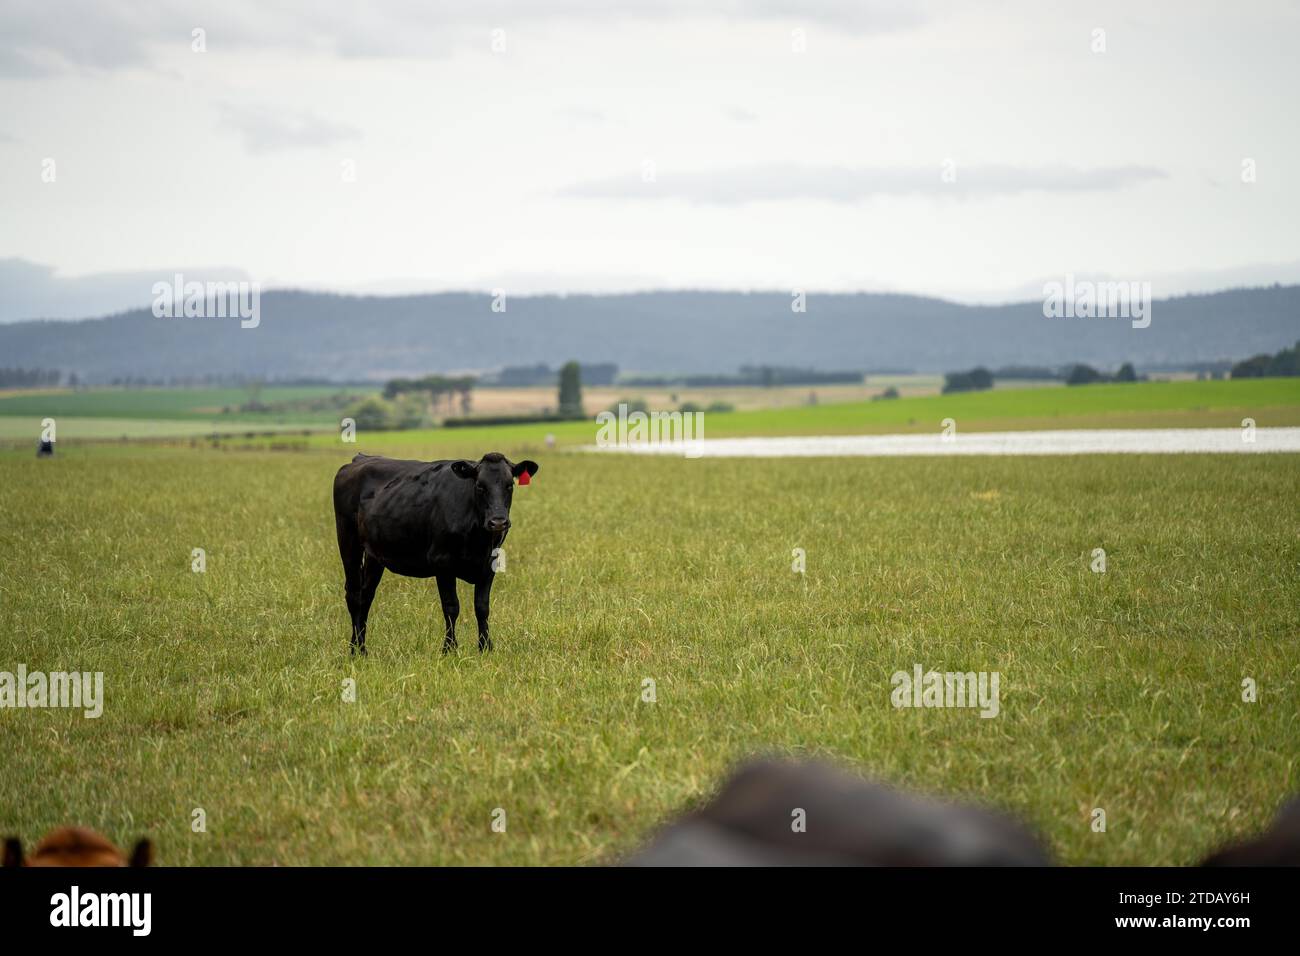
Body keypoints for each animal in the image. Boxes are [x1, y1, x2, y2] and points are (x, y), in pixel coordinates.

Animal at [332, 451, 538, 655]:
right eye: (480, 486)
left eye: (509, 485)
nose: (498, 522)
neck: (479, 539)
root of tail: (361, 458)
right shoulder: (442, 563)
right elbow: (451, 607)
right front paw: (449, 649)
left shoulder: (489, 565)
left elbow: (482, 607)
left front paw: (485, 647)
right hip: (348, 541)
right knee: (354, 594)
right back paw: (355, 650)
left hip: (375, 554)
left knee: (366, 595)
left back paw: (362, 647)